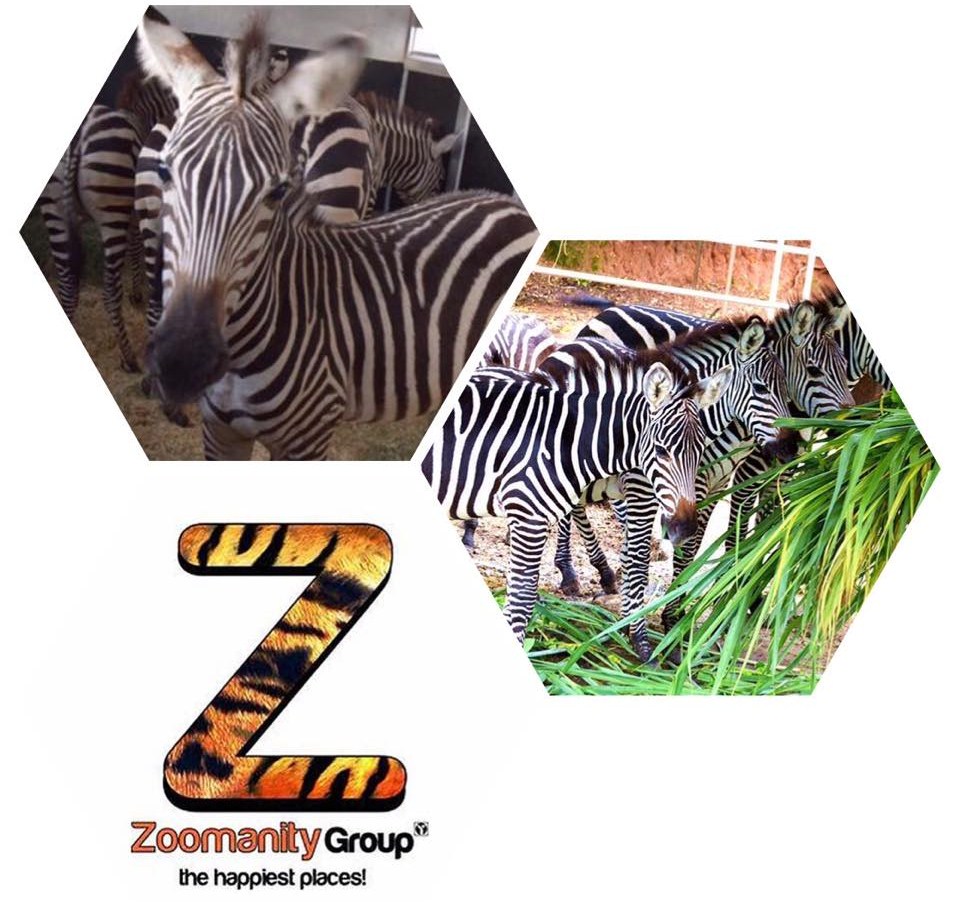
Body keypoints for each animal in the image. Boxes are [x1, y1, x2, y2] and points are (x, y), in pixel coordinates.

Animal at [423, 336, 732, 660]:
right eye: (661, 451)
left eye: (701, 450)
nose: (685, 528)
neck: (562, 440)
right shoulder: (528, 515)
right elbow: (522, 599)